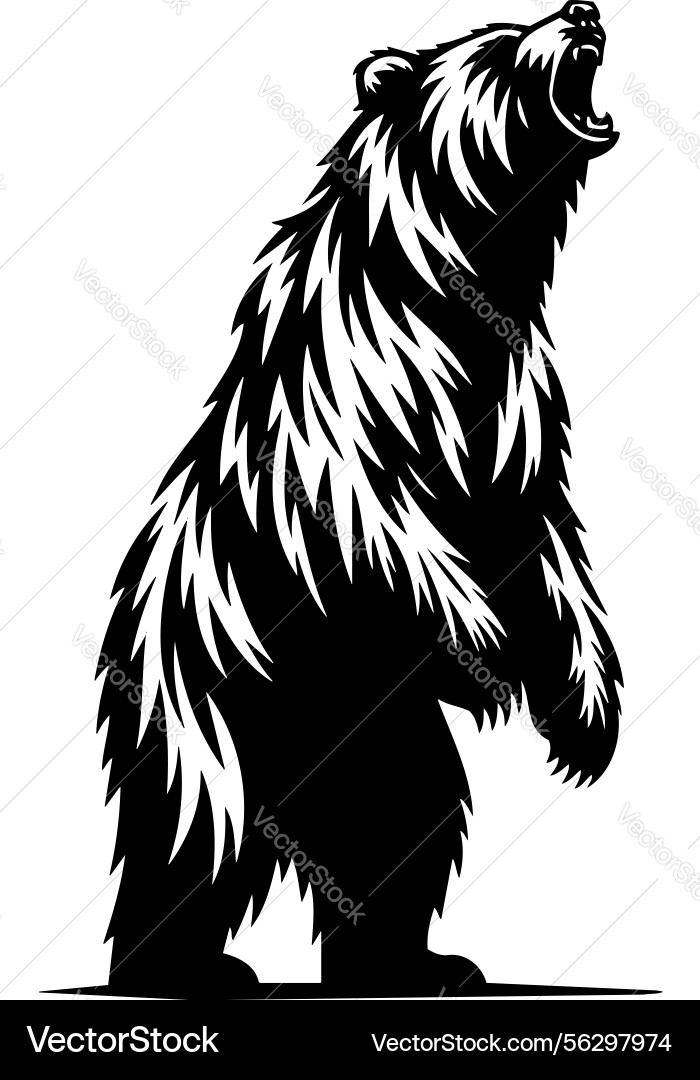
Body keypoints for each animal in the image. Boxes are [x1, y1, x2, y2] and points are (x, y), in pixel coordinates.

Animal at [96, 0, 622, 997]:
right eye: (497, 44)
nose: (584, 10)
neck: (468, 288)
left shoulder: (518, 417)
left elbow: (544, 545)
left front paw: (585, 715)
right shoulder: (354, 399)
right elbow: (381, 526)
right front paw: (480, 644)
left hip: (373, 727)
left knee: (401, 817)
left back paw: (419, 960)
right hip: (219, 707)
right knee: (192, 843)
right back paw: (188, 964)